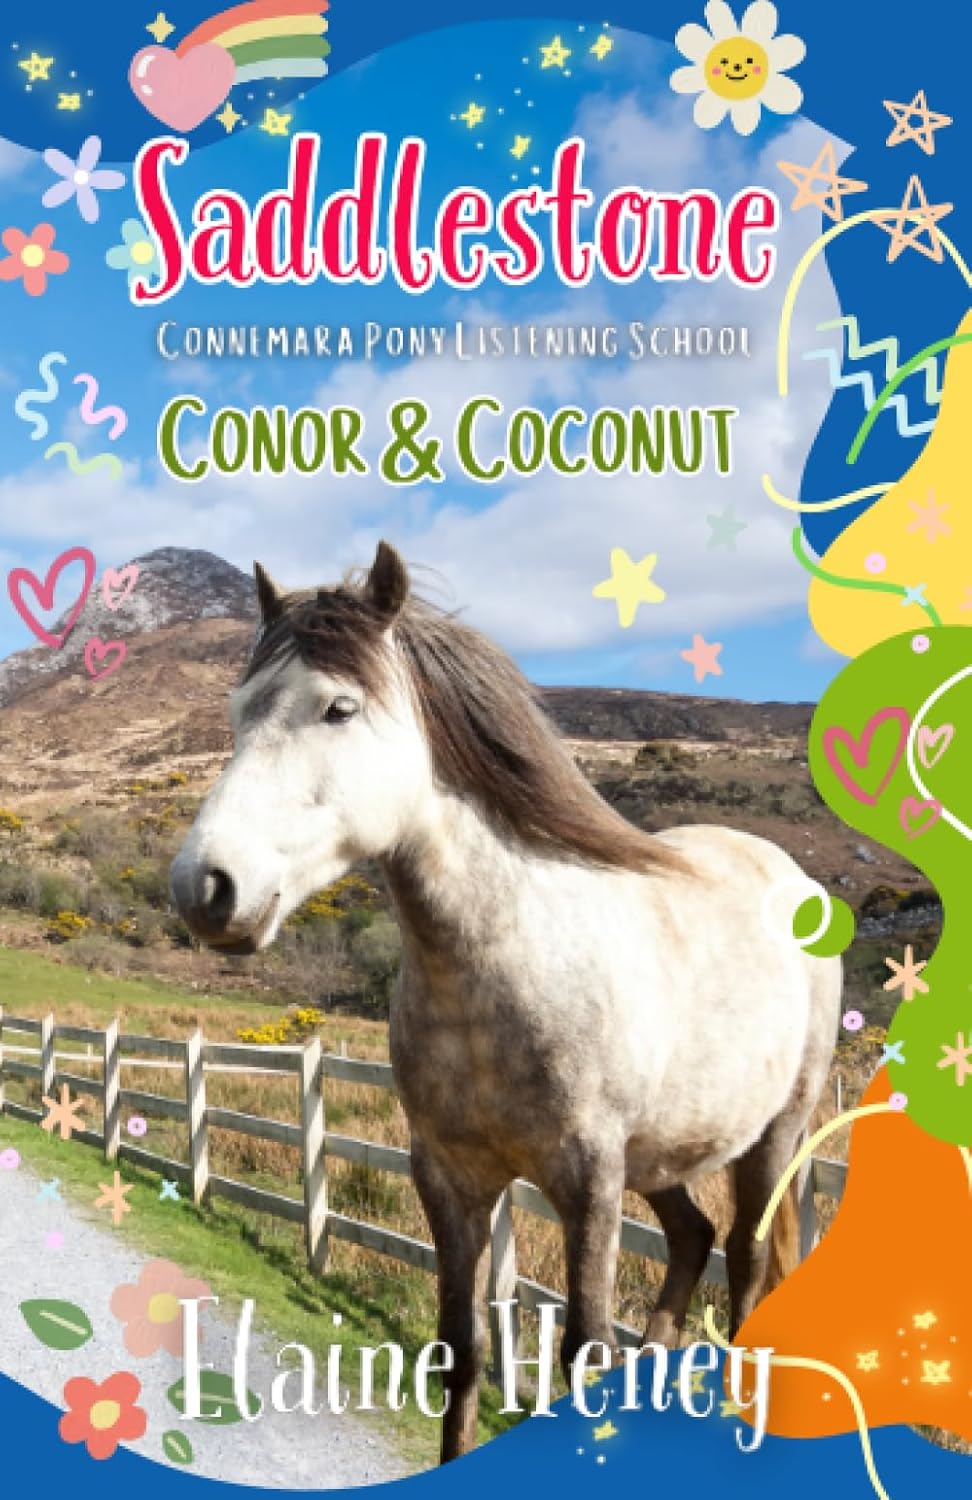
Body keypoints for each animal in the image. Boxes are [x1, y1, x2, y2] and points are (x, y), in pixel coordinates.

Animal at [171, 541, 841, 1463]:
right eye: (238, 713)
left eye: (339, 707)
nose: (205, 888)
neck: (504, 968)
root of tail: (792, 876)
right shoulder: (451, 1178)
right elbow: (464, 1347)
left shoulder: (588, 1181)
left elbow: (583, 1350)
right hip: (659, 1156)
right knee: (691, 1239)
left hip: (771, 1136)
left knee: (741, 1264)